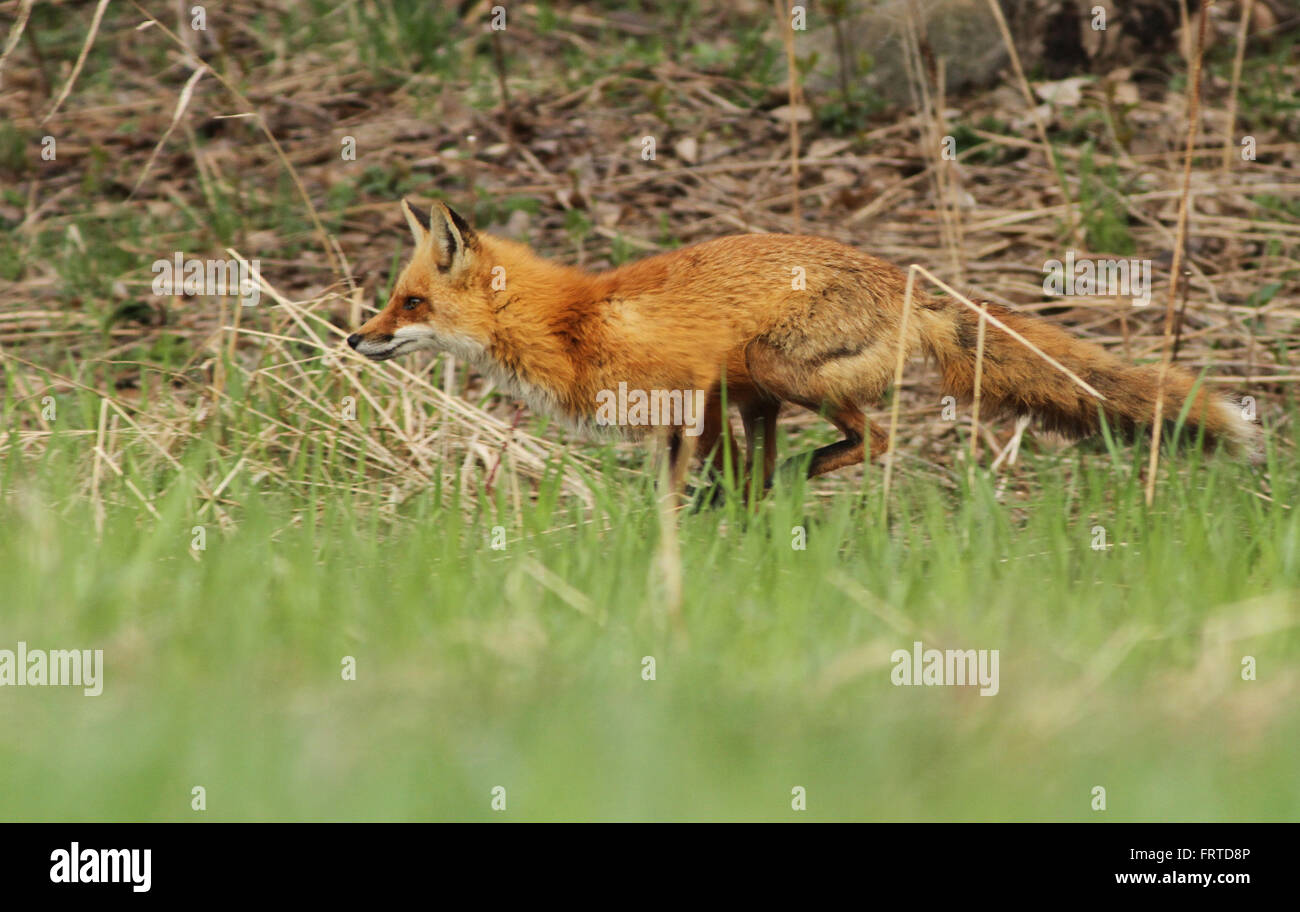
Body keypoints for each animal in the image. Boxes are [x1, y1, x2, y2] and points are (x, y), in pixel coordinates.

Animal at [348, 199, 1257, 490]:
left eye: (411, 302)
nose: (355, 337)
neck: (569, 323)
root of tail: (908, 284)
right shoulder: (699, 413)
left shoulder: (695, 396)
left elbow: (698, 489)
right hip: (762, 389)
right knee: (794, 457)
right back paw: (782, 491)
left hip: (774, 368)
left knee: (875, 438)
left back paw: (800, 478)